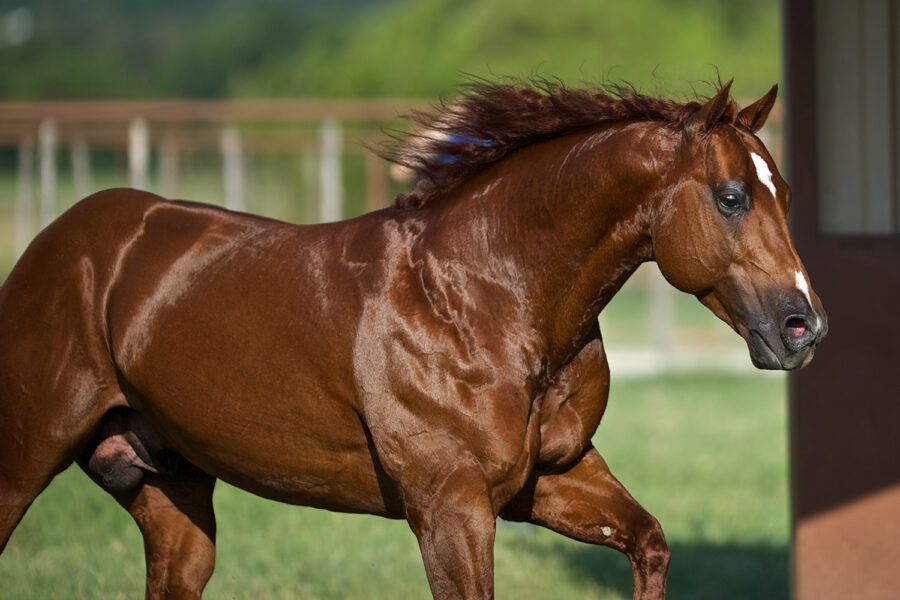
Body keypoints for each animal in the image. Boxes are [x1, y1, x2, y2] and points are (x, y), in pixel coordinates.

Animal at [0, 78, 826, 599]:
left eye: (782, 193)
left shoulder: (549, 480)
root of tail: (58, 244)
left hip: (169, 491)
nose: (803, 326)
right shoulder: (450, 505)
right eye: (731, 197)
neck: (482, 297)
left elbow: (649, 541)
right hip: (26, 456)